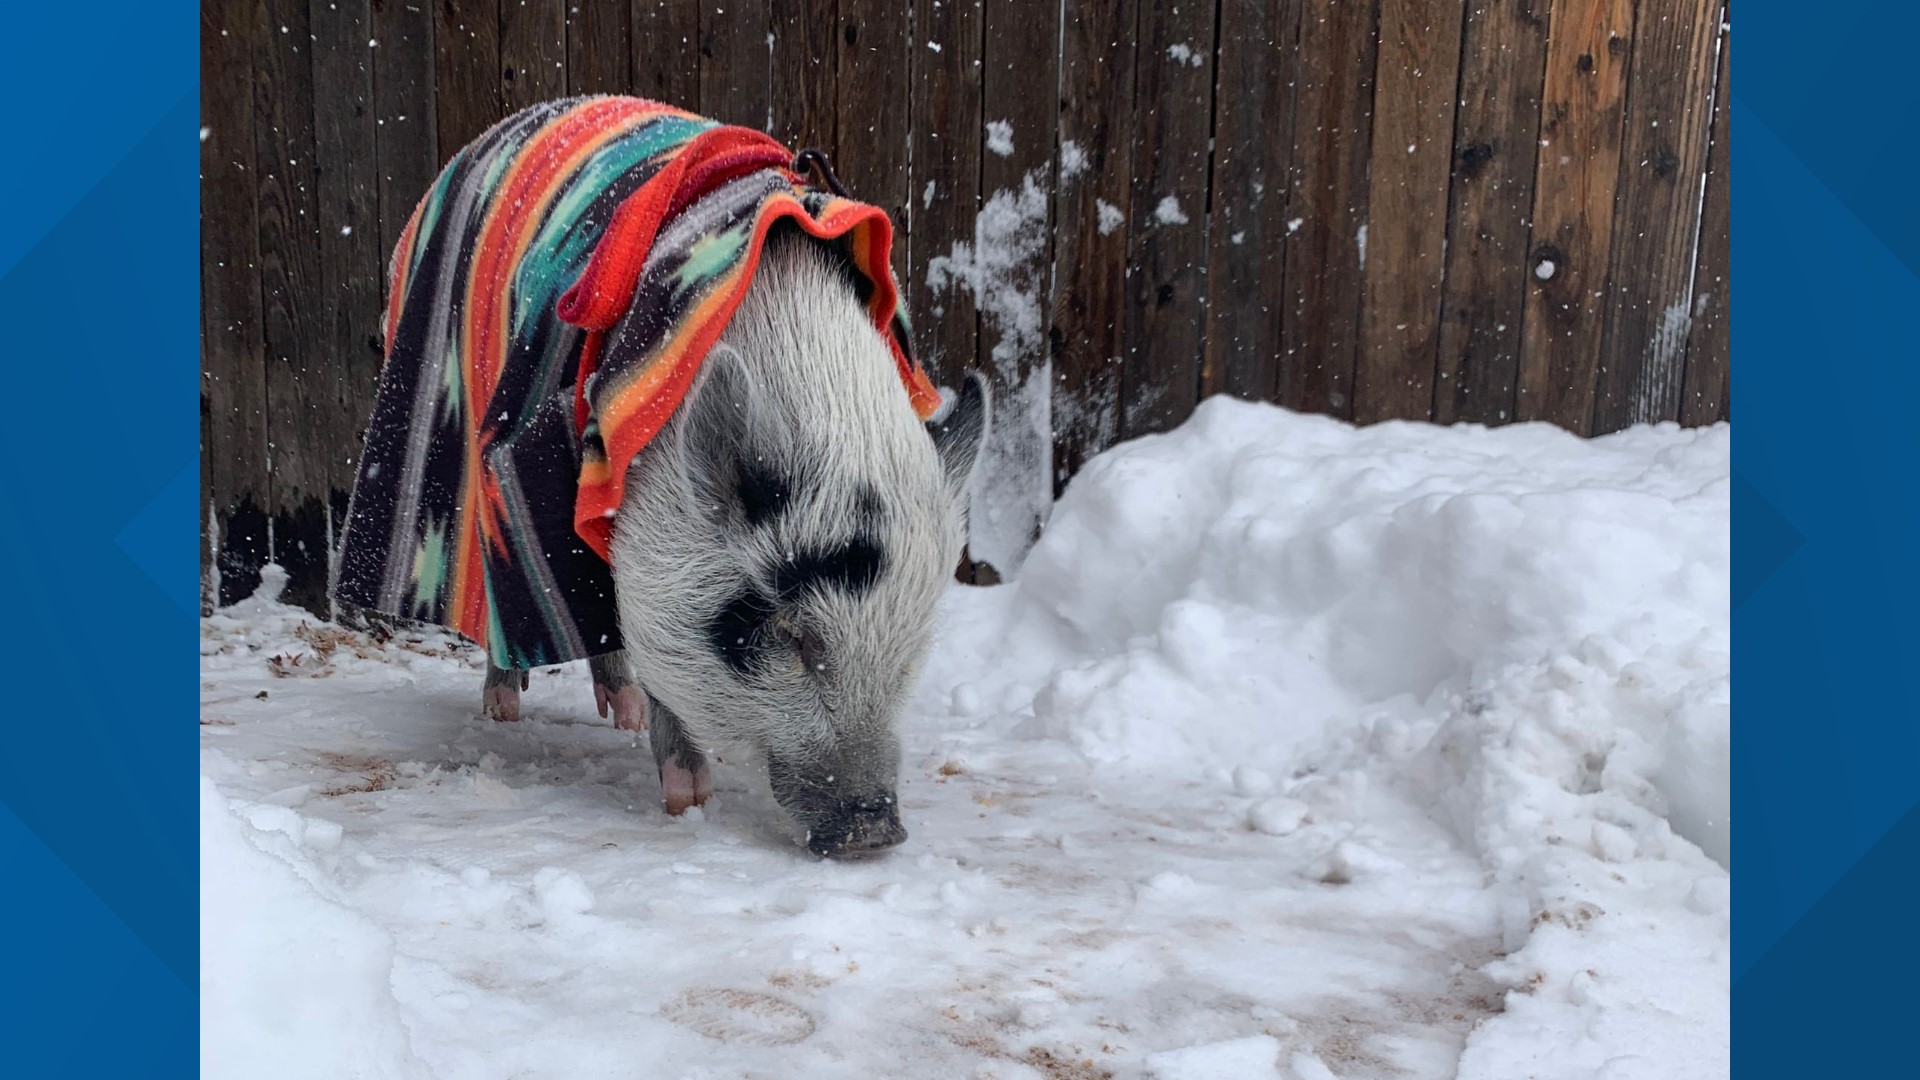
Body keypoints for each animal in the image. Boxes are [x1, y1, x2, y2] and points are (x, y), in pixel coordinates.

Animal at [483, 229, 987, 858]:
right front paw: (689, 803)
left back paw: (625, 718)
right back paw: (501, 712)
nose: (877, 832)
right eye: (795, 638)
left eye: (912, 648)